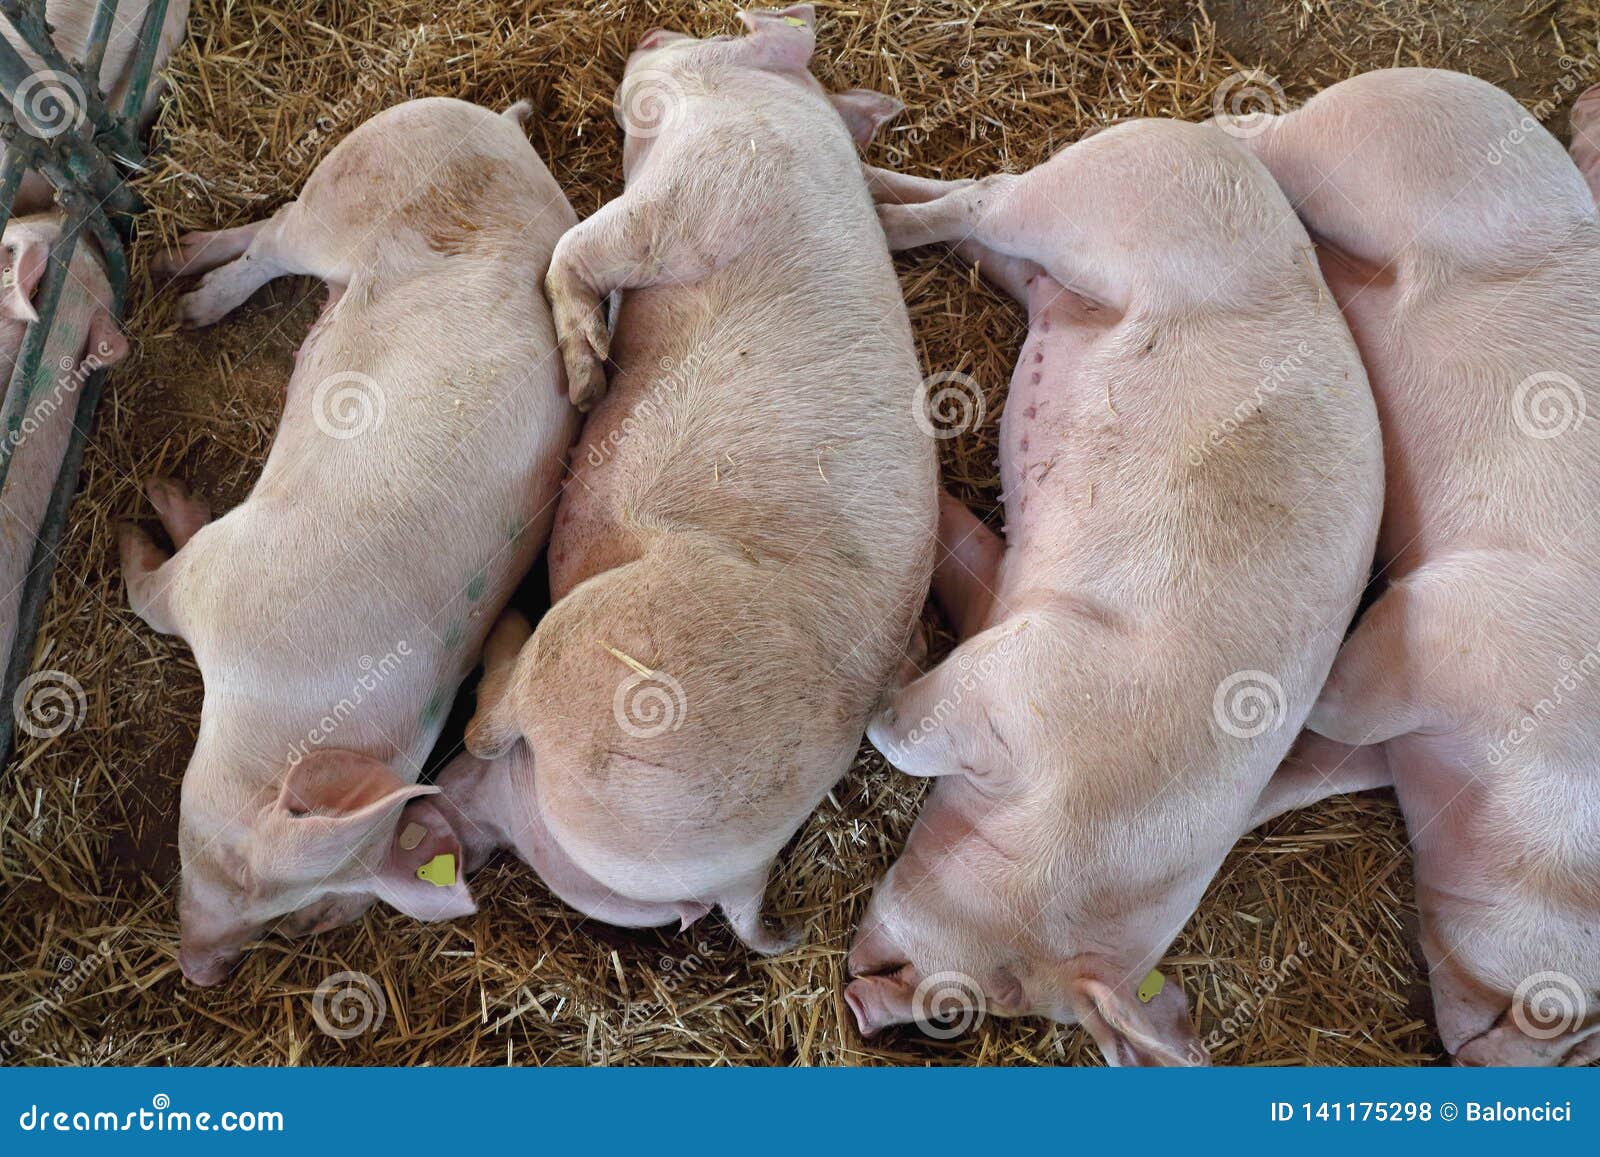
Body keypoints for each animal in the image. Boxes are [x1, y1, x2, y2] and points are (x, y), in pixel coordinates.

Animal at [125, 98, 577, 984]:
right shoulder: (210, 581)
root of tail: (501, 128)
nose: (202, 971)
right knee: (274, 235)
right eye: (235, 866)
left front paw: (161, 500)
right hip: (349, 189)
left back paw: (176, 268)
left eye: (285, 910)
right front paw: (144, 508)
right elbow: (145, 590)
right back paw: (187, 292)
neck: (280, 700)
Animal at [434, 6, 936, 954]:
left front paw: (588, 376)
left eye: (704, 36)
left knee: (490, 725)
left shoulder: (698, 191)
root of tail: (746, 873)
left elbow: (578, 246)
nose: (651, 32)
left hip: (604, 650)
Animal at [842, 120, 1384, 1064]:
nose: (860, 1012)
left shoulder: (1003, 603)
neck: (1078, 823)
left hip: (1054, 264)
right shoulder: (1023, 679)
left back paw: (871, 186)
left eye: (975, 1005)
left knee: (987, 217)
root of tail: (1221, 149)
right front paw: (882, 690)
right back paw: (877, 203)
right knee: (987, 194)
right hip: (1097, 204)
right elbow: (905, 735)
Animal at [1231, 67, 1600, 1066]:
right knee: (1260, 132)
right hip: (1376, 147)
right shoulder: (1450, 622)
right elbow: (1341, 697)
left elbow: (1318, 772)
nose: (1465, 1053)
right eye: (1554, 1014)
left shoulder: (1402, 748)